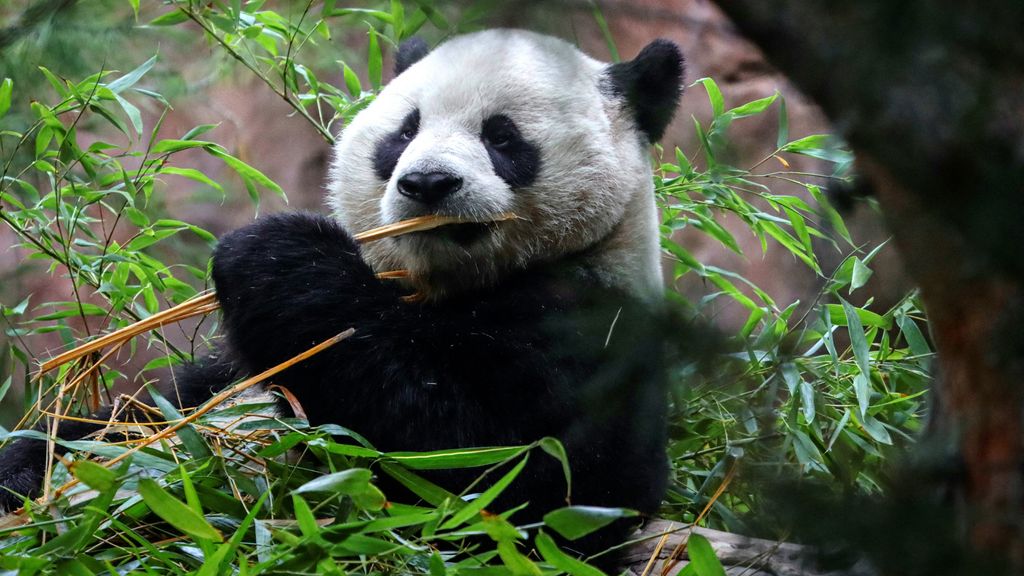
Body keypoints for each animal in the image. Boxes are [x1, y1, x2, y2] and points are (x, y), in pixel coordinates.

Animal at [0, 29, 684, 559]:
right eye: (404, 131)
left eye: (502, 137)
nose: (427, 183)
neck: (444, 285)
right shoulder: (222, 377)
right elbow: (135, 419)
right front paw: (28, 469)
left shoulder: (590, 333)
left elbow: (481, 476)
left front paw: (276, 251)